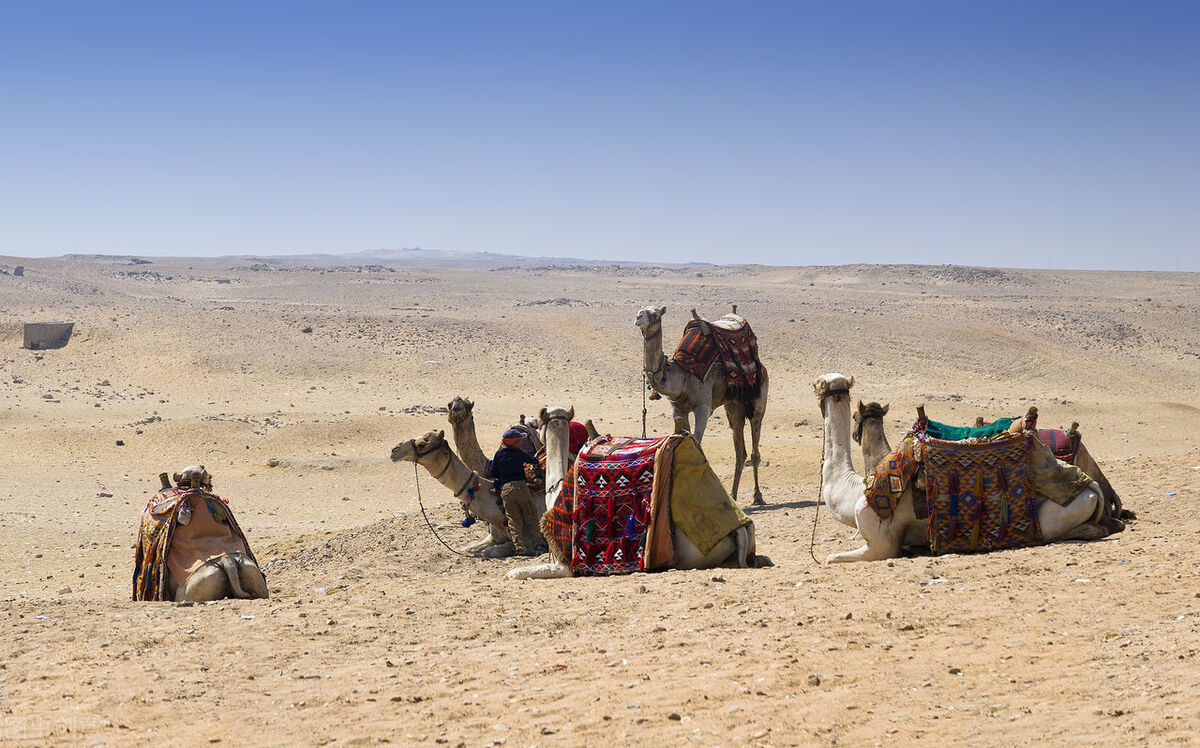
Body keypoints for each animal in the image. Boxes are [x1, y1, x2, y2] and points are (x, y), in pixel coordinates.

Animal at [391, 430, 548, 558]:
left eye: (423, 444)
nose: (394, 450)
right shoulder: (494, 536)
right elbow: (469, 548)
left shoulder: (525, 541)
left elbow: (488, 551)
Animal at [505, 405, 757, 580]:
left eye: (536, 423)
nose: (524, 422)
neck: (555, 488)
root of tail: (739, 530)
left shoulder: (565, 561)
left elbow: (518, 572)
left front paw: (512, 574)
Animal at [635, 305, 768, 505]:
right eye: (641, 310)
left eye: (656, 313)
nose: (638, 317)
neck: (681, 376)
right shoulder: (678, 409)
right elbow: (685, 438)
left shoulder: (703, 407)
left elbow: (697, 441)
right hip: (733, 406)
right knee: (740, 451)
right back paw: (733, 495)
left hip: (757, 402)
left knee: (754, 449)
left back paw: (757, 496)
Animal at [815, 373, 1109, 563]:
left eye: (816, 383)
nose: (815, 386)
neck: (854, 489)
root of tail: (1092, 485)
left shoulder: (880, 542)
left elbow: (832, 558)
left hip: (1052, 517)